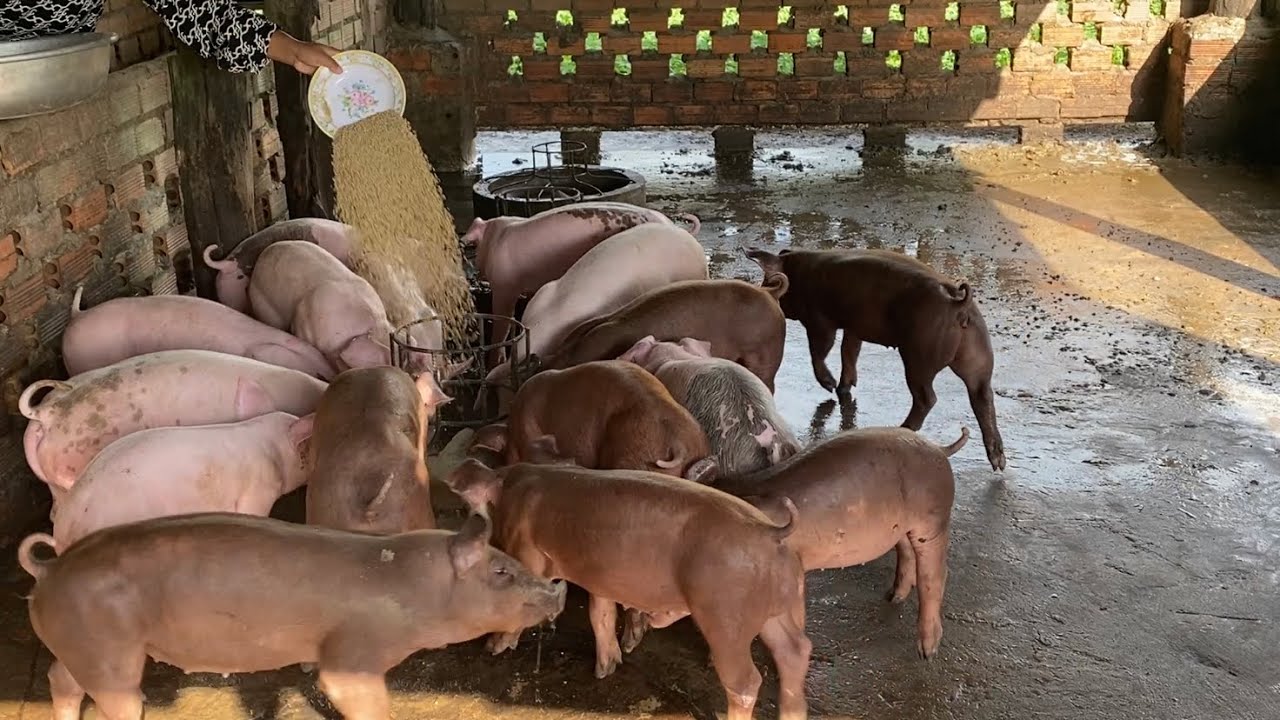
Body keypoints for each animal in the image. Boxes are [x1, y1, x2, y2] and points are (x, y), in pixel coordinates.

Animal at [18, 512, 566, 720]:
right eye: (500, 570)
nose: (558, 588)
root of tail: (49, 568)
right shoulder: (353, 653)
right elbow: (354, 696)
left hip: (82, 644)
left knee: (60, 678)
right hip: (110, 655)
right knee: (115, 698)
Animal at [445, 452, 812, 720]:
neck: (508, 487)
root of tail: (771, 533)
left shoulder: (527, 551)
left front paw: (493, 648)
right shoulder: (600, 578)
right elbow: (600, 614)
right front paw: (606, 669)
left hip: (726, 615)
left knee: (746, 681)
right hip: (780, 607)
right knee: (795, 651)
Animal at [745, 247, 1005, 471]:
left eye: (769, 280)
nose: (763, 289)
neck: (801, 271)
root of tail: (958, 303)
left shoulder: (821, 321)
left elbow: (819, 350)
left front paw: (830, 385)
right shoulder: (854, 328)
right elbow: (849, 351)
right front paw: (843, 388)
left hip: (919, 355)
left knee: (927, 398)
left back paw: (903, 427)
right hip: (978, 355)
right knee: (983, 396)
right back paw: (998, 462)